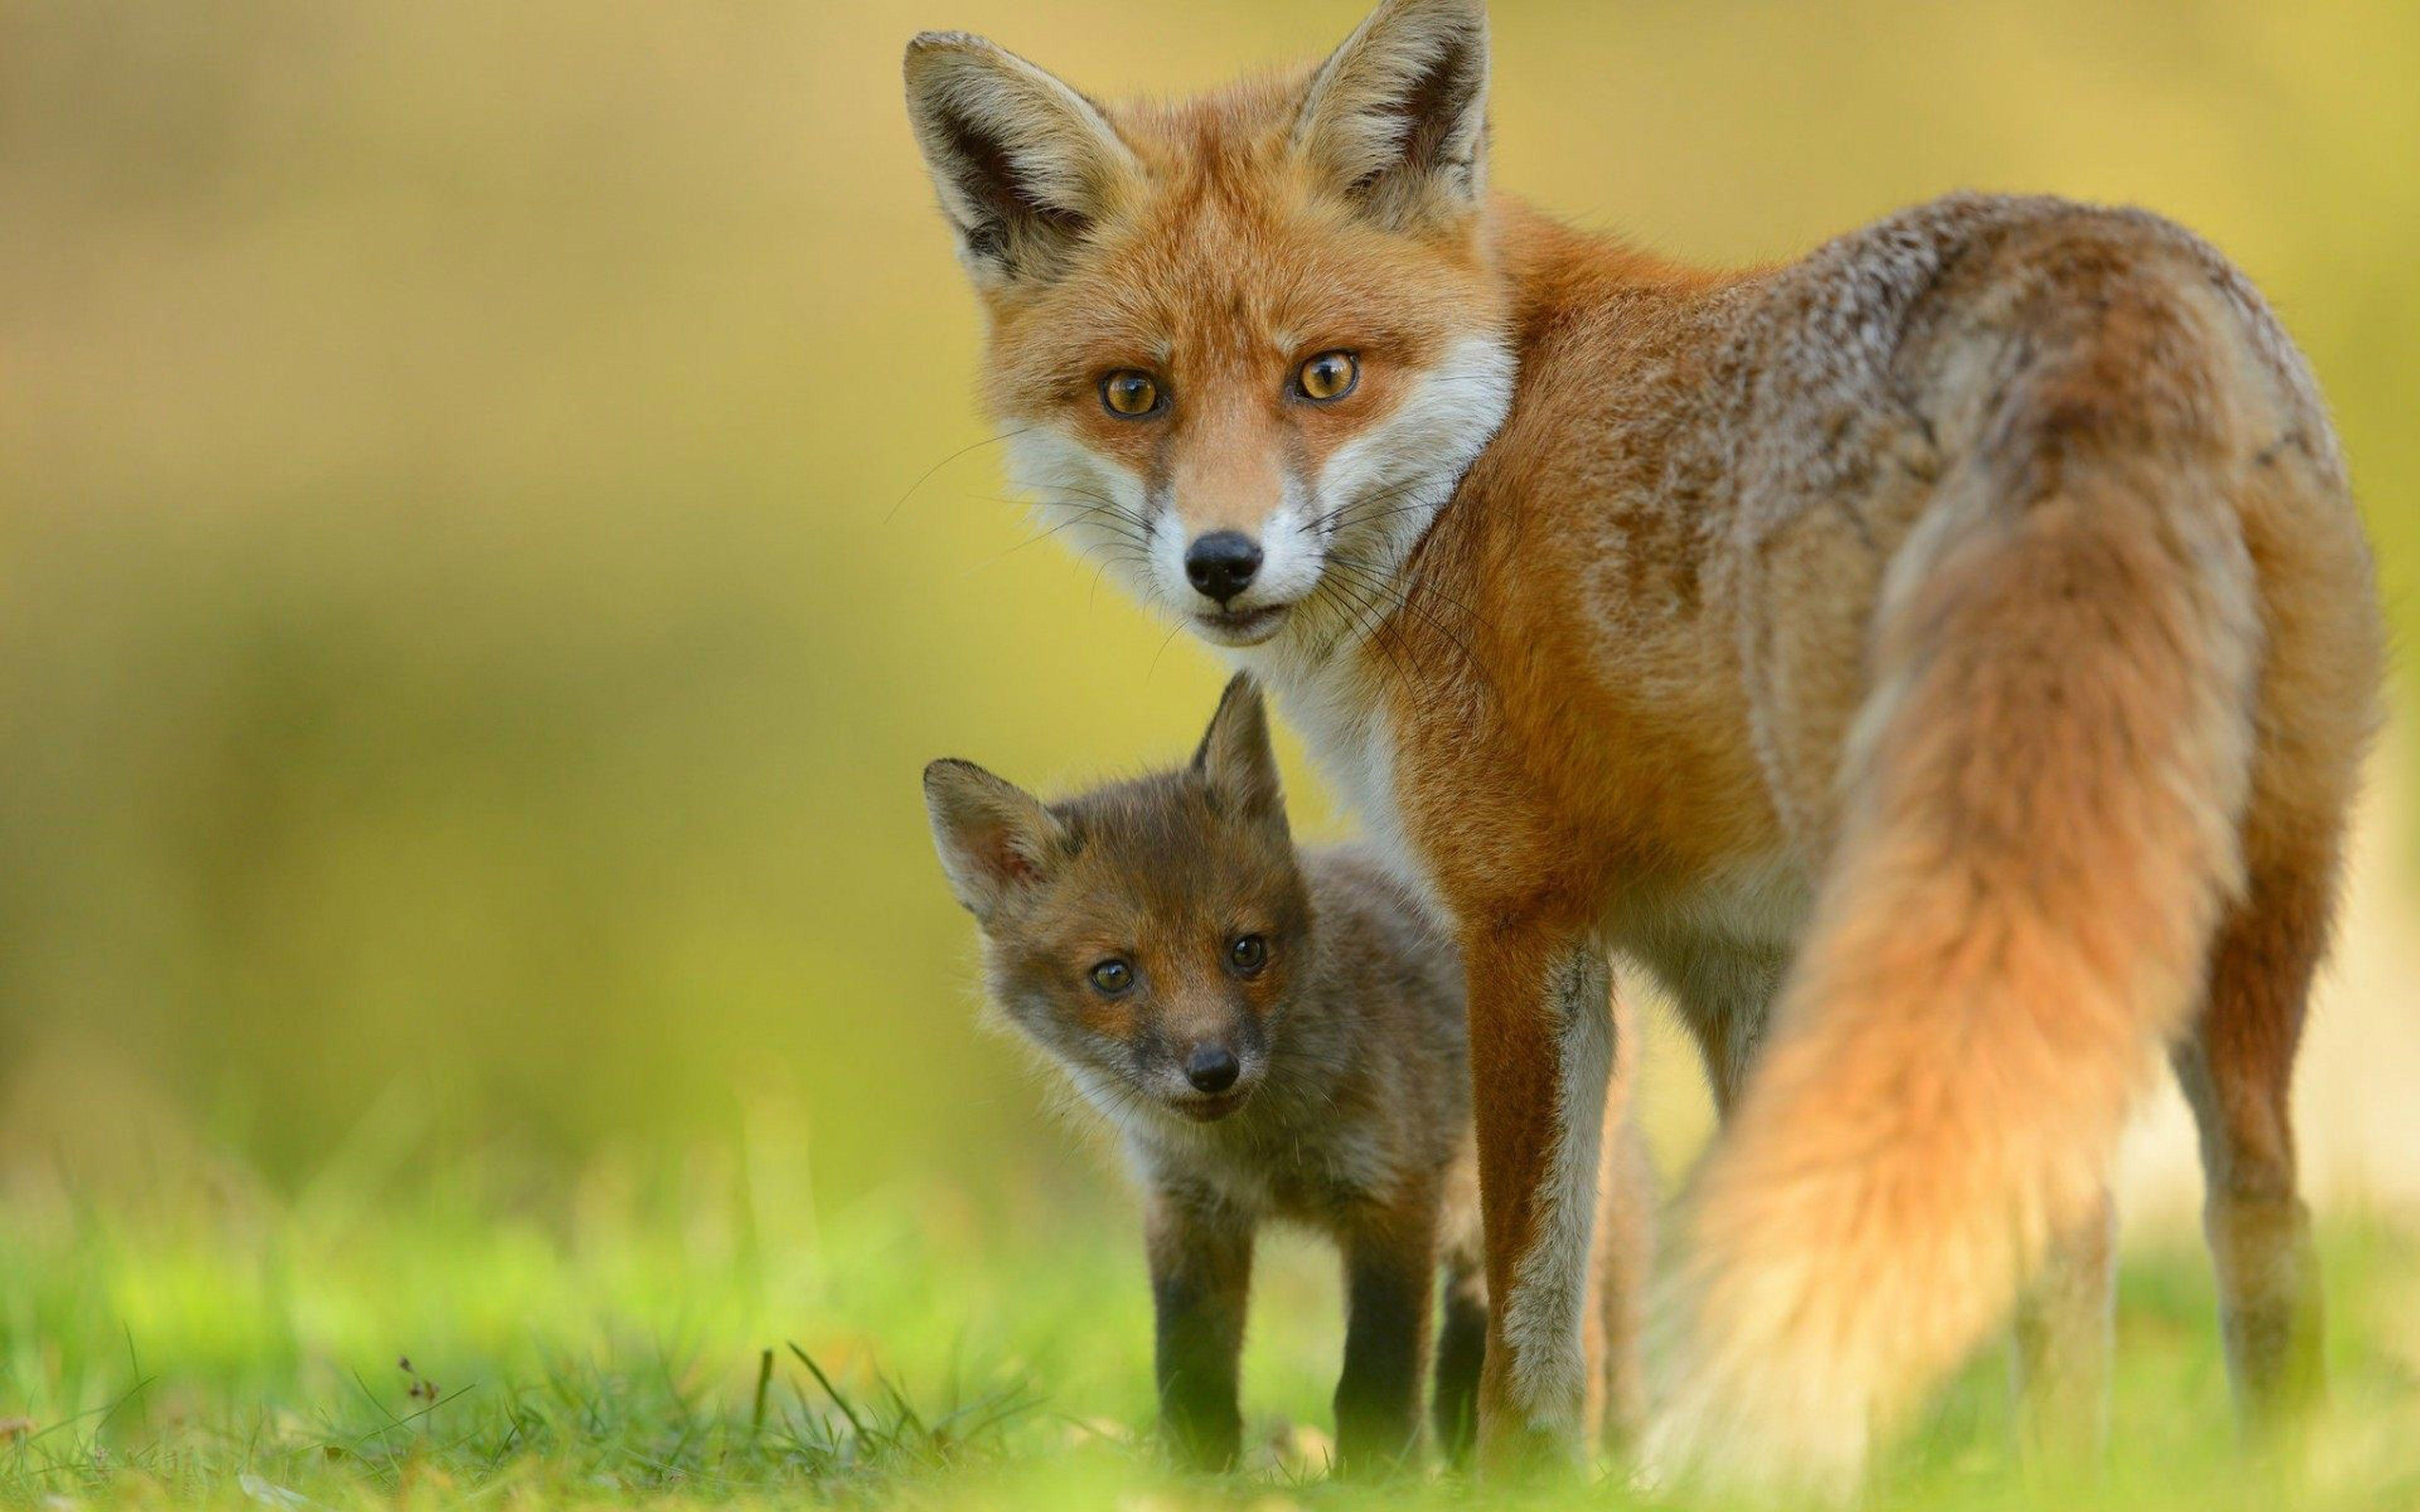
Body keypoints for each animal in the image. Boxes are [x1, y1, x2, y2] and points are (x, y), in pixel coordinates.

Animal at [921, 675, 1654, 1474]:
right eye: (1113, 975)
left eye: (1247, 951)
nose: (1213, 1069)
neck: (1259, 1152)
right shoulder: (1187, 1210)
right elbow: (1192, 1367)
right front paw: (1197, 1473)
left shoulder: (1392, 1194)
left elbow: (1374, 1374)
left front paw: (1374, 1477)